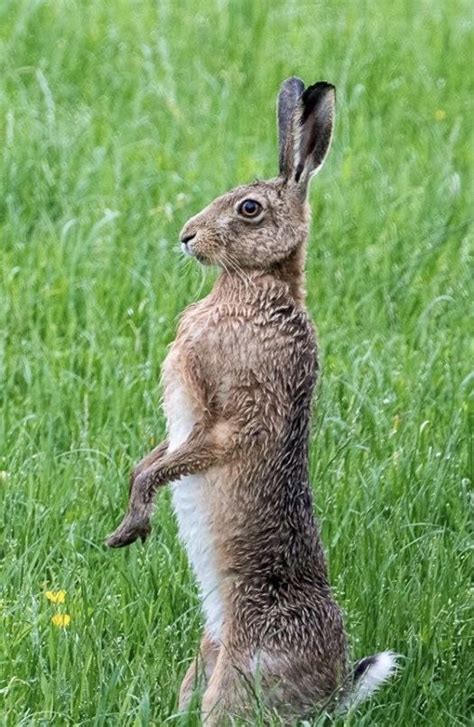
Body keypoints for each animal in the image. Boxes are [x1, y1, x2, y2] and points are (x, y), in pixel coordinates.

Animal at [106, 77, 397, 723]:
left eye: (248, 208)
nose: (187, 237)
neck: (255, 286)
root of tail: (332, 691)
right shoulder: (183, 426)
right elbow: (152, 458)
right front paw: (128, 522)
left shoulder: (235, 416)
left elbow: (176, 462)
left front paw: (133, 524)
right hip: (205, 656)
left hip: (238, 676)